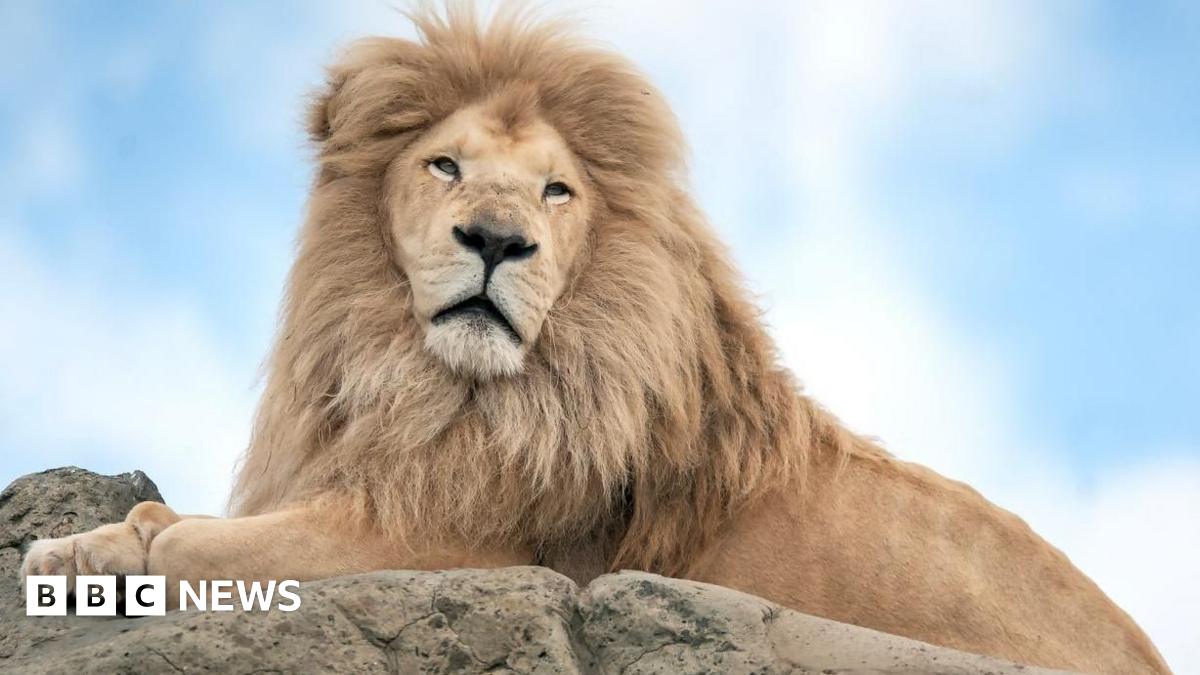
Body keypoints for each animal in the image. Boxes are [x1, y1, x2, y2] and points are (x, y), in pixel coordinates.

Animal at [20, 7, 1170, 674]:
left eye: (556, 191)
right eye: (444, 165)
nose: (497, 240)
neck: (432, 384)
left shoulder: (462, 547)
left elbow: (194, 540)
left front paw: (133, 549)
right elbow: (161, 519)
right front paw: (74, 547)